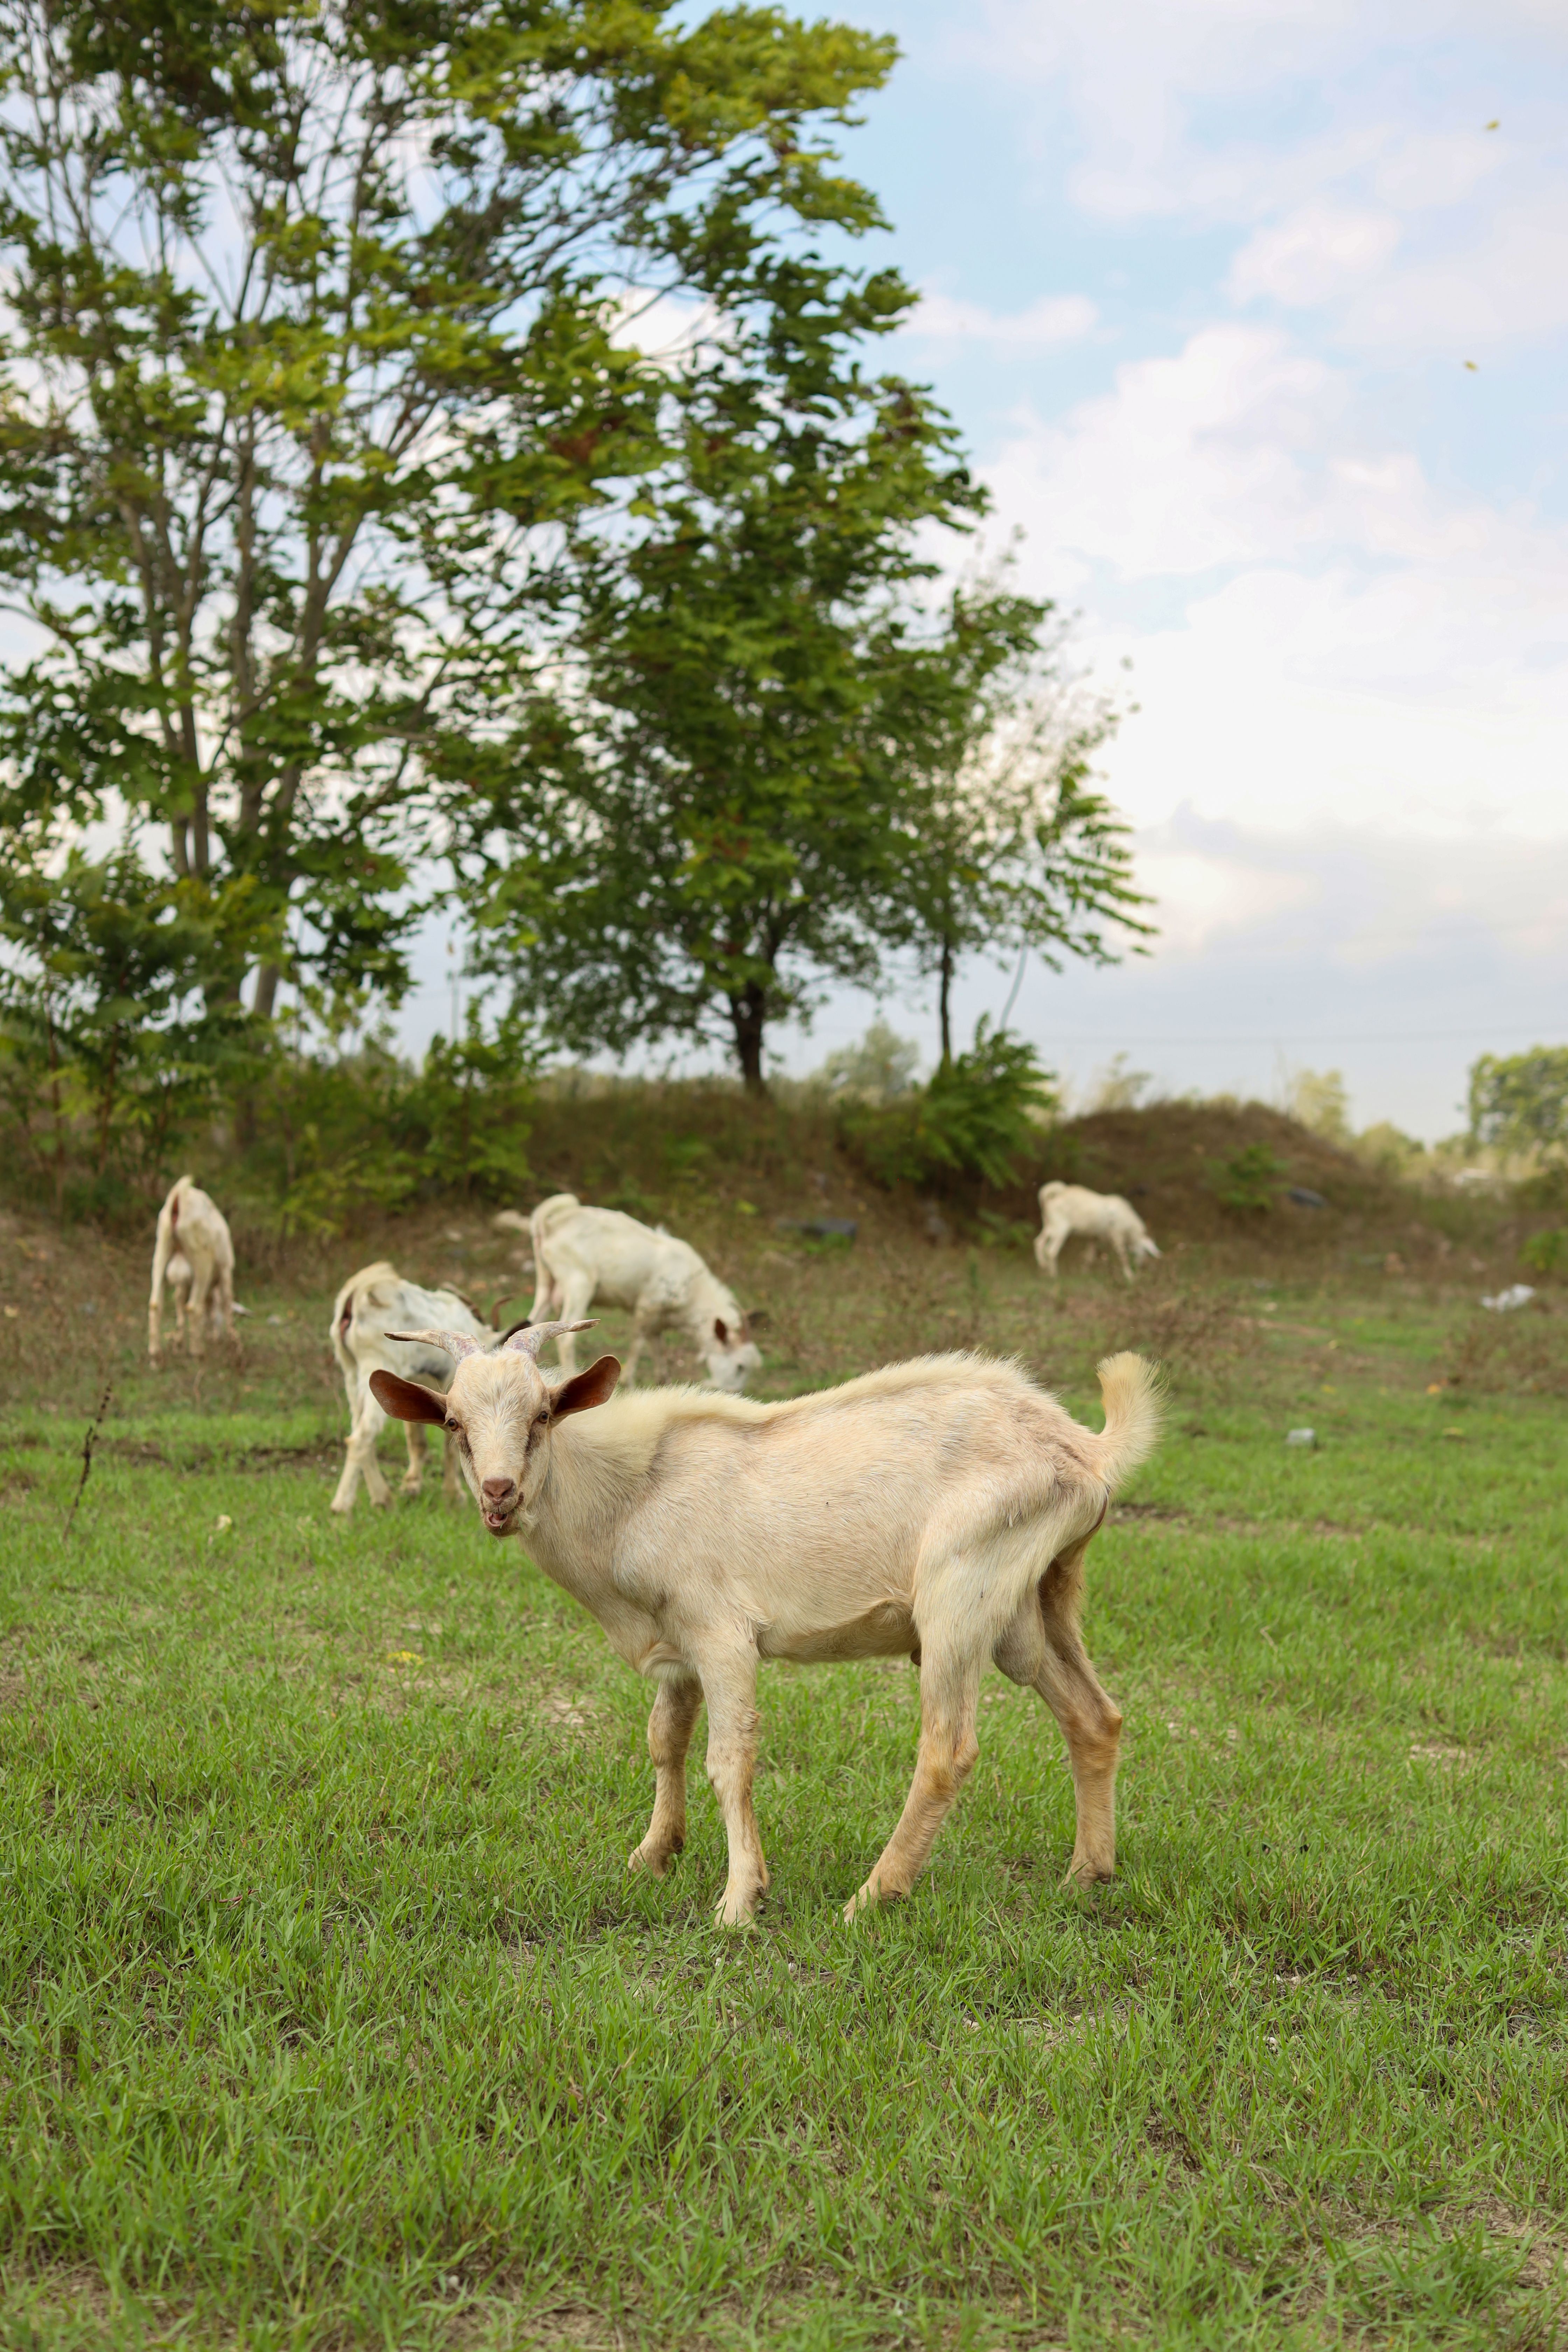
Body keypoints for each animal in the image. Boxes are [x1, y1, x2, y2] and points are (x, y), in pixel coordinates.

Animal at [149, 1176, 240, 1362]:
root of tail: (179, 1197)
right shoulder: (226, 1268)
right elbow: (227, 1301)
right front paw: (233, 1345)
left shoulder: (184, 1283)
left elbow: (179, 1300)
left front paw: (179, 1342)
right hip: (202, 1261)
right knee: (194, 1307)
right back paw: (198, 1352)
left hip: (161, 1252)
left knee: (156, 1304)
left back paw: (156, 1355)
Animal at [329, 1263, 494, 1514]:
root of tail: (357, 1294)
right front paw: (453, 1496)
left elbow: (416, 1436)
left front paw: (412, 1485)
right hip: (377, 1362)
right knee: (362, 1436)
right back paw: (343, 1505)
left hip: (351, 1371)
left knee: (359, 1429)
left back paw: (382, 1498)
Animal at [371, 1325, 1161, 1925]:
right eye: (453, 1424)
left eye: (541, 1415)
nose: (499, 1493)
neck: (633, 1494)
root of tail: (1083, 1447)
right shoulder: (678, 1645)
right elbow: (664, 1742)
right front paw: (652, 1856)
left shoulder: (722, 1635)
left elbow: (729, 1760)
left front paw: (739, 1901)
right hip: (1037, 1599)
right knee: (1093, 1716)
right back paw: (1087, 1875)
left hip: (961, 1592)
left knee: (947, 1750)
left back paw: (873, 1897)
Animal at [519, 1194, 761, 1390]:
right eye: (740, 1366)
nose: (734, 1392)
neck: (693, 1291)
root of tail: (551, 1224)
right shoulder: (647, 1306)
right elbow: (638, 1341)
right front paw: (629, 1382)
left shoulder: (659, 1320)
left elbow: (658, 1350)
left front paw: (665, 1384)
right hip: (579, 1284)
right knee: (566, 1338)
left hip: (547, 1281)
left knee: (532, 1326)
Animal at [1034, 1181, 1161, 1283]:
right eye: (1145, 1252)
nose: (1141, 1266)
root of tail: (1054, 1196)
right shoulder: (1117, 1236)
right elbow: (1123, 1257)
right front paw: (1130, 1276)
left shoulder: (1094, 1238)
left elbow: (1089, 1258)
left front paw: (1084, 1274)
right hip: (1061, 1229)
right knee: (1051, 1251)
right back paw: (1054, 1276)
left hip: (1050, 1226)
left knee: (1039, 1243)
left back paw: (1043, 1267)